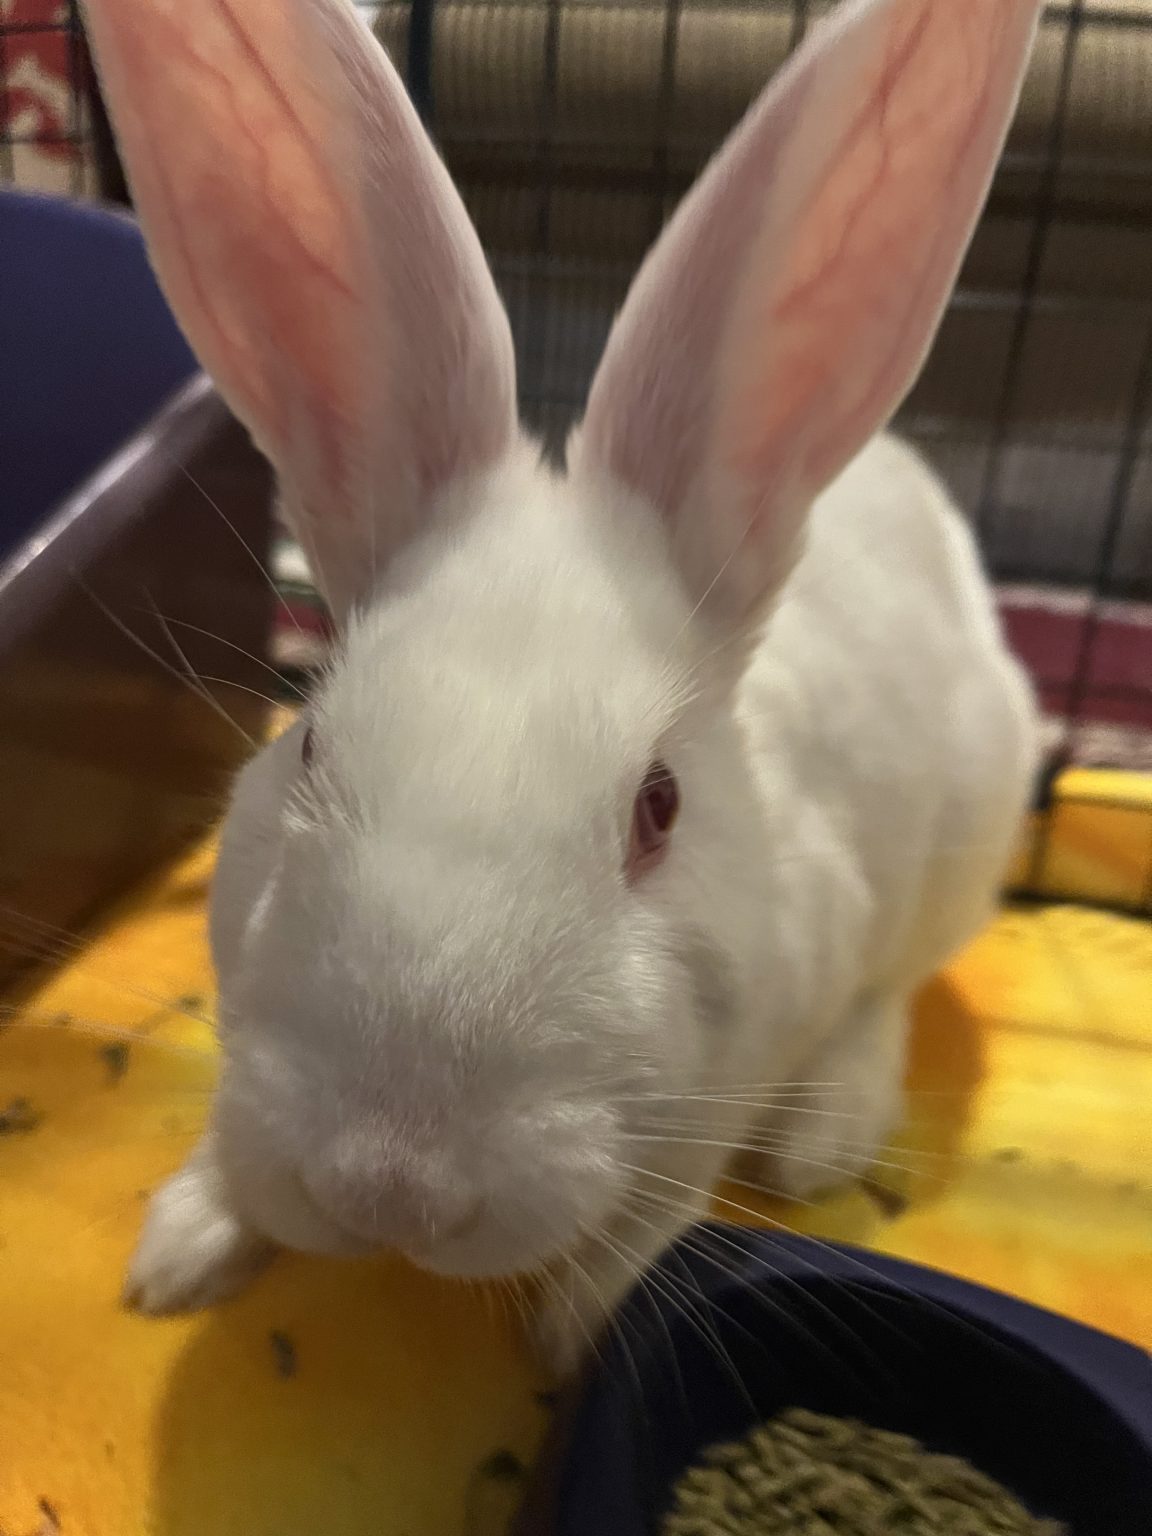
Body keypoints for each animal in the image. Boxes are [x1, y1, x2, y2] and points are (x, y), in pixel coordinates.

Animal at [84, 0, 1044, 1375]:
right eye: (309, 746)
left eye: (661, 807)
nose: (390, 1187)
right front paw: (179, 1252)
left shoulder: (727, 1074)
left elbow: (661, 1208)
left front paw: (578, 1329)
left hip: (962, 841)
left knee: (893, 996)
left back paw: (827, 1140)